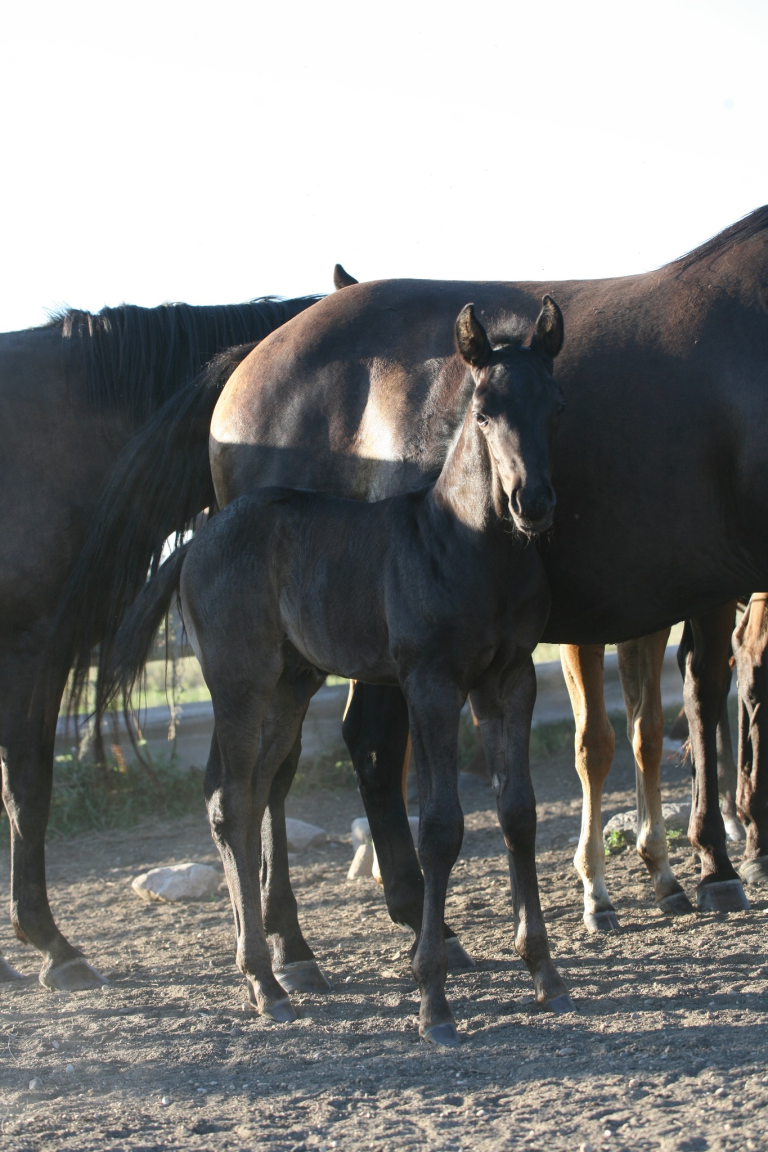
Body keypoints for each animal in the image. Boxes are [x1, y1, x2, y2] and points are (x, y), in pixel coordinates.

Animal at [104, 299, 573, 1045]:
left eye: (554, 405)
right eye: (483, 410)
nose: (533, 501)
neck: (468, 546)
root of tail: (197, 541)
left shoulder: (512, 678)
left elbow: (519, 812)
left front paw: (546, 974)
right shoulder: (430, 682)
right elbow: (440, 826)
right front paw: (433, 1000)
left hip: (291, 684)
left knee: (255, 791)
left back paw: (275, 968)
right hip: (240, 683)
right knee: (230, 799)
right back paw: (265, 982)